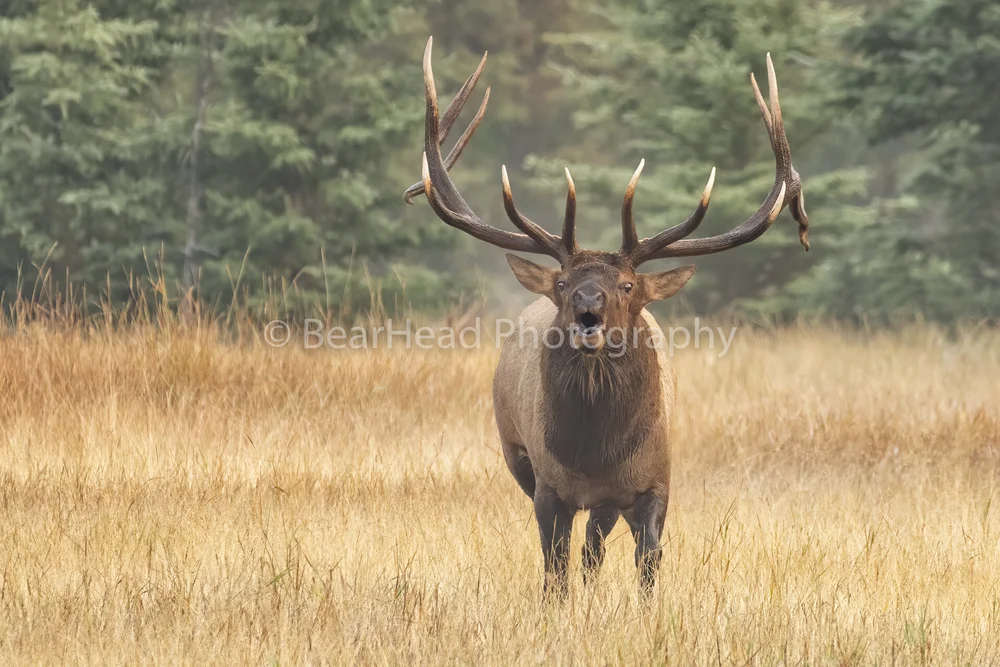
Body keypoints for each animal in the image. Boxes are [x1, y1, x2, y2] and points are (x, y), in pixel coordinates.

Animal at [402, 37, 810, 596]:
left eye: (628, 286)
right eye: (561, 283)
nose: (587, 313)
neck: (597, 456)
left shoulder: (656, 483)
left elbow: (647, 567)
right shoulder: (549, 487)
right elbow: (554, 573)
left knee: (595, 545)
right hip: (517, 456)